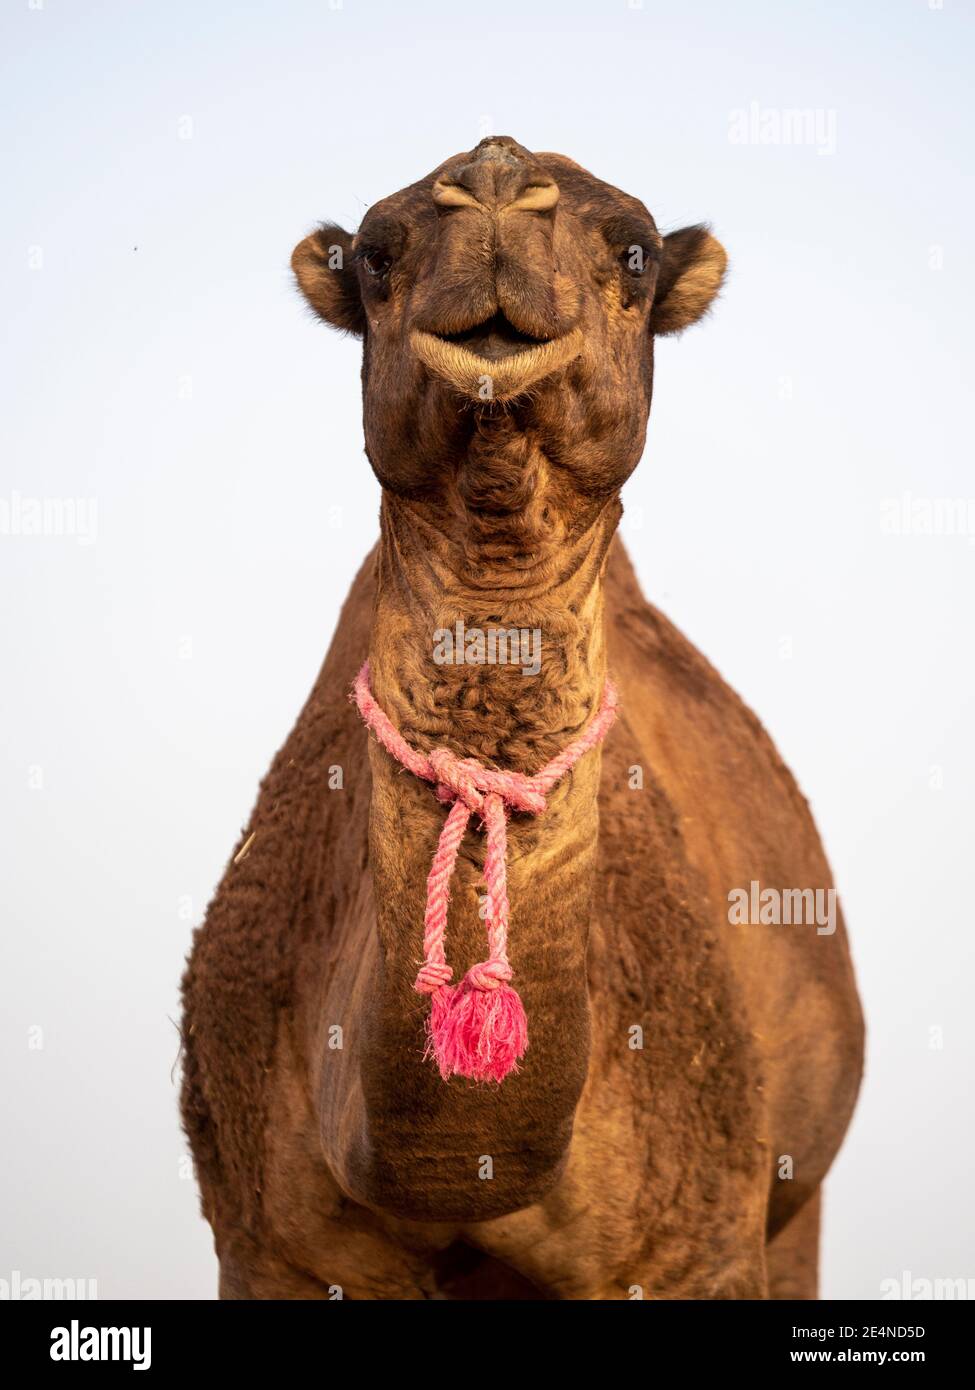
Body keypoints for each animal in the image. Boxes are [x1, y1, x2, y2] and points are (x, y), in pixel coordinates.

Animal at [180, 136, 863, 1300]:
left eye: (633, 254)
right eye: (374, 257)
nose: (497, 188)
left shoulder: (700, 1237)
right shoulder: (268, 1246)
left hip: (793, 1198)